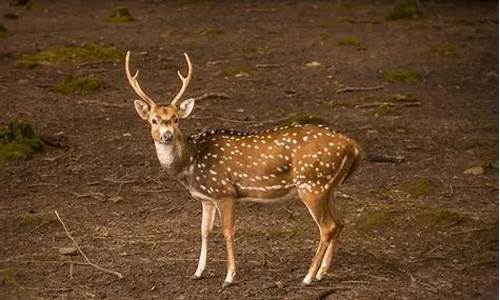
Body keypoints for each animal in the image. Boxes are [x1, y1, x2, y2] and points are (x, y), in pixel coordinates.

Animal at [124, 50, 360, 288]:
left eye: (176, 119)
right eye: (154, 120)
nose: (167, 135)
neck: (191, 164)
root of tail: (353, 146)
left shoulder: (225, 192)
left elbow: (228, 231)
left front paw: (229, 276)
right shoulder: (206, 198)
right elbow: (204, 232)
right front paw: (198, 271)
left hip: (312, 184)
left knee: (327, 226)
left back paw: (309, 276)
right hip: (328, 187)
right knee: (340, 222)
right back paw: (322, 272)